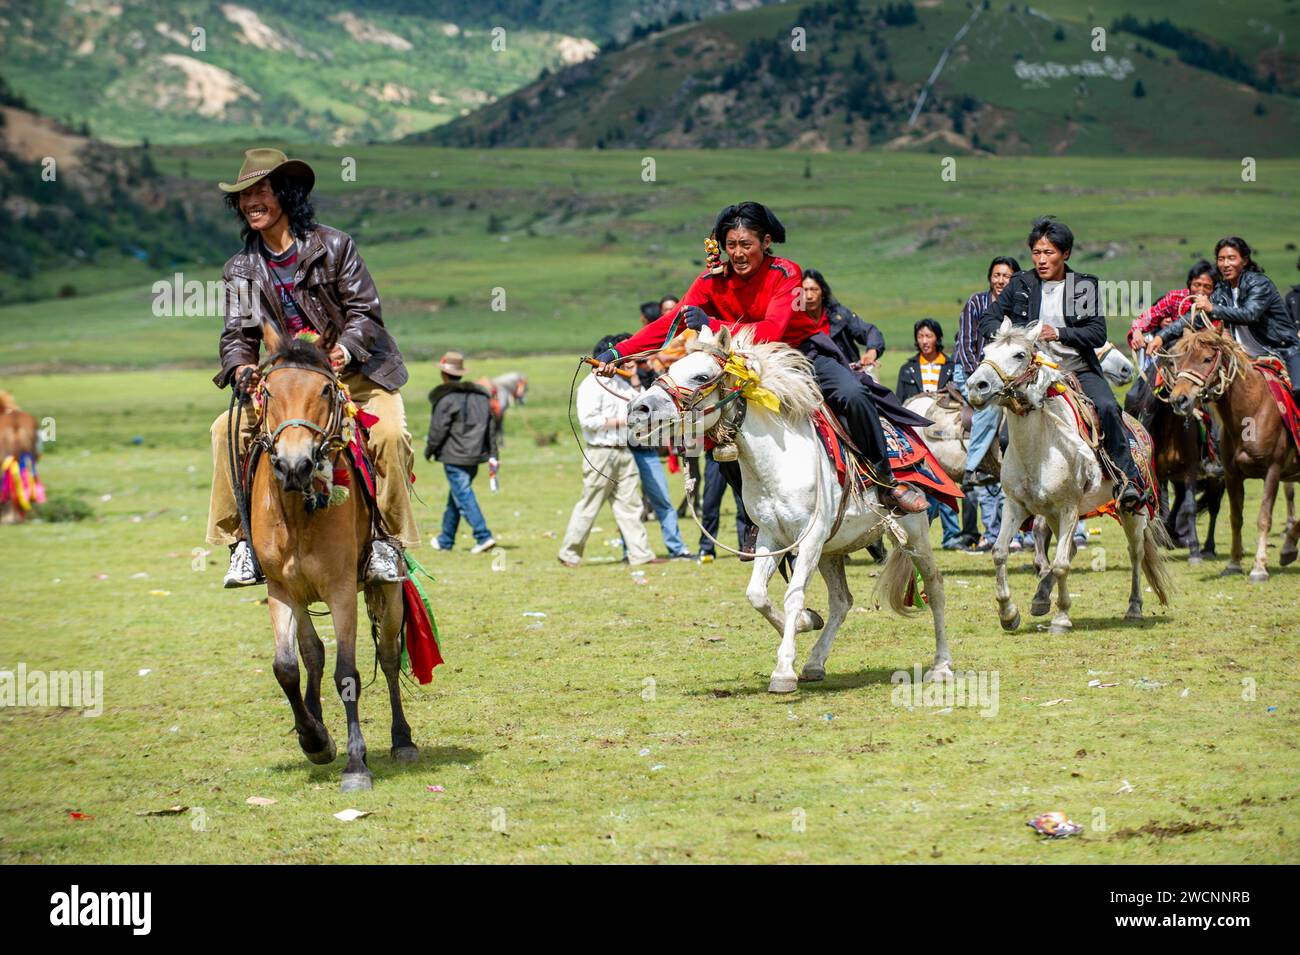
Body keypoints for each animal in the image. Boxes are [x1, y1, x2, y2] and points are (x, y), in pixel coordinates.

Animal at [245, 320, 416, 792]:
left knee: (390, 655)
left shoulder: (340, 589)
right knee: (312, 654)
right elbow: (288, 666)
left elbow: (348, 674)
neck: (297, 514)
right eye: (266, 392)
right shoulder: (283, 589)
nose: (294, 465)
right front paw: (316, 740)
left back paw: (403, 740)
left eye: (324, 389)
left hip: (386, 590)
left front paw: (356, 764)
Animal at [627, 325, 952, 693]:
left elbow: (793, 595)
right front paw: (803, 624)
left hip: (913, 532)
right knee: (842, 601)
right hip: (832, 549)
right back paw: (814, 662)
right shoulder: (772, 537)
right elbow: (757, 594)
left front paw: (783, 670)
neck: (777, 461)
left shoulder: (808, 540)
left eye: (701, 376)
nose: (639, 409)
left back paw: (941, 666)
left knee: (935, 587)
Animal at [965, 319, 1172, 633]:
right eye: (986, 352)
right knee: (1070, 548)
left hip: (1131, 512)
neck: (1039, 446)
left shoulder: (1069, 508)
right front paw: (1008, 613)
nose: (977, 386)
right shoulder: (1017, 505)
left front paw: (1061, 618)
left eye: (1019, 355)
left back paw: (1134, 608)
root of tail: (1139, 427)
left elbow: (1061, 563)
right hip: (1052, 513)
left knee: (1135, 552)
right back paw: (1040, 597)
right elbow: (1000, 552)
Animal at [1164, 328, 1300, 581]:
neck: (1253, 410)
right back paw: (1288, 548)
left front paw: (1259, 567)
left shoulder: (1273, 471)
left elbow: (1264, 518)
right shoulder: (1232, 474)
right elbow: (1236, 518)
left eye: (1207, 358)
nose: (1179, 399)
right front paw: (1234, 563)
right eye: (1178, 360)